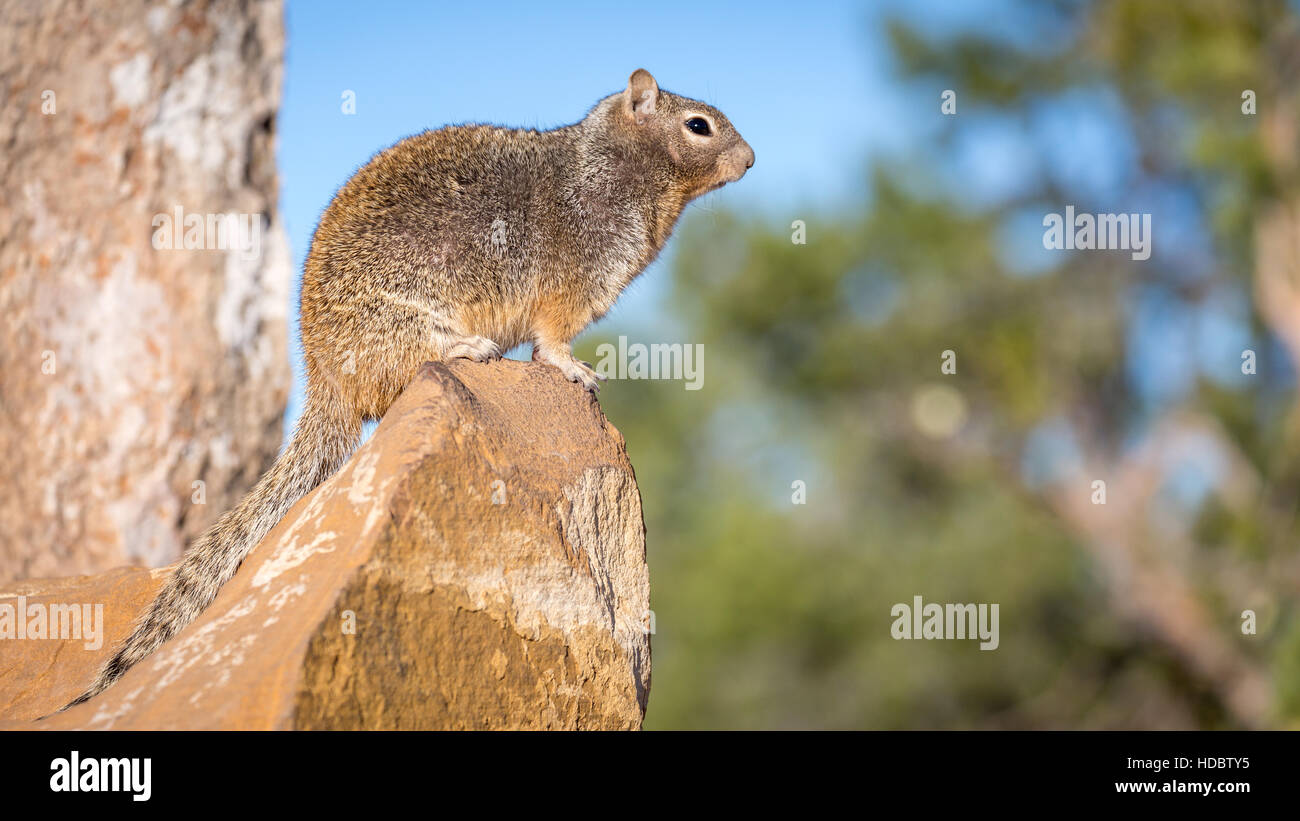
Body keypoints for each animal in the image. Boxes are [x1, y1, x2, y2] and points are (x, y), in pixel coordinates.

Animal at [62, 69, 752, 709]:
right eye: (698, 125)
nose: (751, 159)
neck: (614, 168)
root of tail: (324, 377)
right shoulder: (574, 283)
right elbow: (552, 342)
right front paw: (576, 370)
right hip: (406, 323)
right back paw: (468, 349)